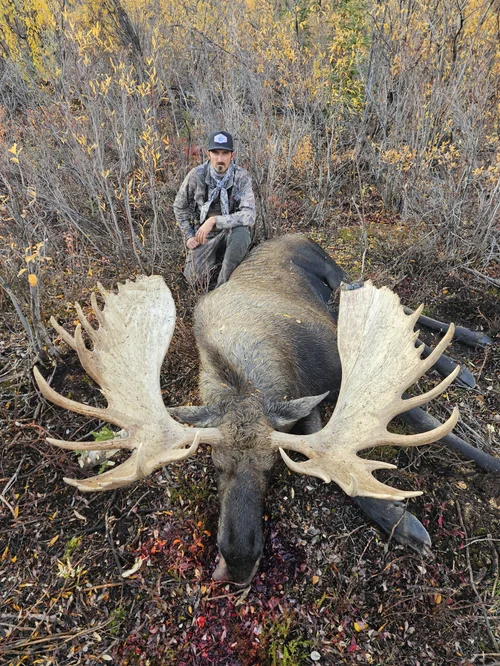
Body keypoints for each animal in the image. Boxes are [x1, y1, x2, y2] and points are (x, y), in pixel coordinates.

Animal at [34, 234, 499, 586]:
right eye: (214, 464)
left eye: (272, 465)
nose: (238, 563)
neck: (247, 374)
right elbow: (335, 466)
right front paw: (397, 516)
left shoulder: (336, 368)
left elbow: (426, 420)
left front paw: (487, 462)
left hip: (335, 272)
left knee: (394, 305)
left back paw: (466, 352)